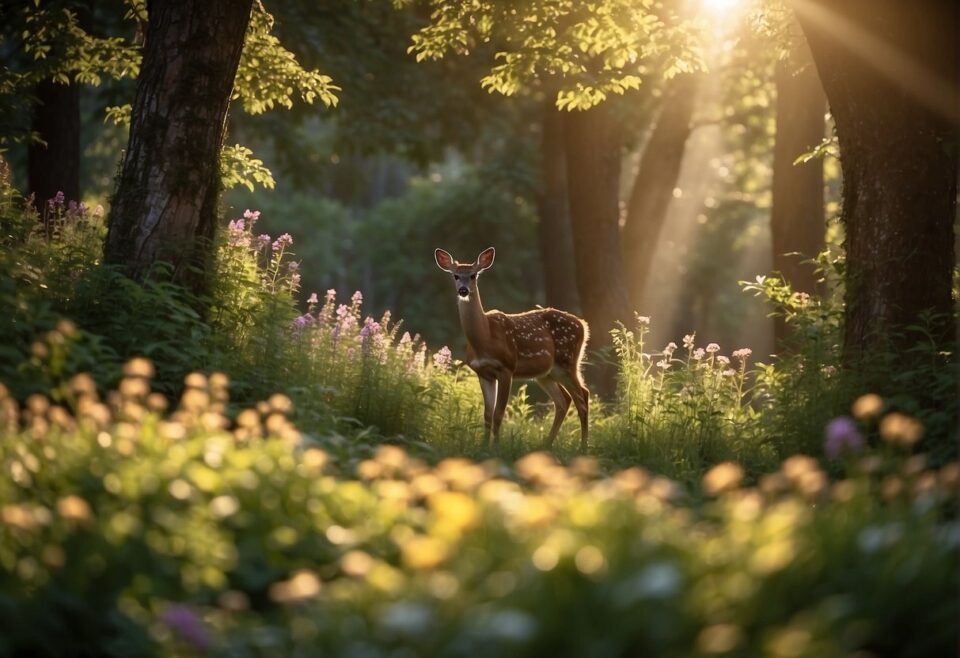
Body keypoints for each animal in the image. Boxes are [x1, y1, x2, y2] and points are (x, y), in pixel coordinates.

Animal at [434, 247, 590, 450]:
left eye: (473, 275)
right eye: (455, 276)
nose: (463, 290)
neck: (485, 338)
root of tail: (583, 325)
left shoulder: (506, 367)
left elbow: (499, 414)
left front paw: (496, 447)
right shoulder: (483, 373)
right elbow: (487, 414)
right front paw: (484, 446)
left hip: (567, 361)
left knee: (582, 397)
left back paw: (583, 446)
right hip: (547, 373)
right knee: (564, 400)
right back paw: (546, 444)